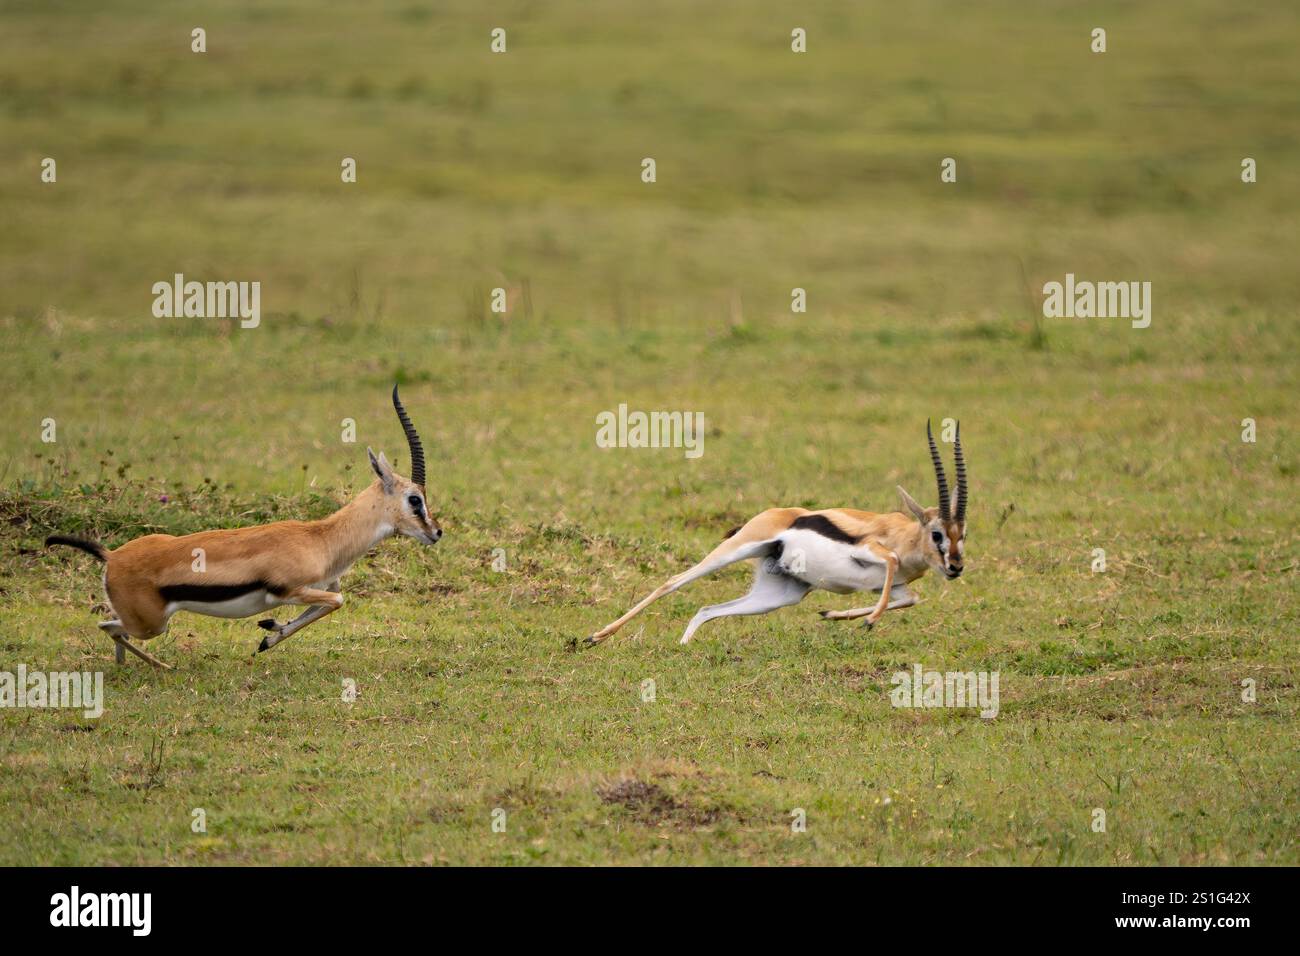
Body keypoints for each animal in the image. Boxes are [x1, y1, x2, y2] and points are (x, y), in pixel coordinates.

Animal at [45, 387, 441, 669]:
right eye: (414, 499)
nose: (436, 532)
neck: (322, 538)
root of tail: (111, 556)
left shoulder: (320, 587)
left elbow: (329, 603)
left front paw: (268, 635)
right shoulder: (290, 590)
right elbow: (337, 601)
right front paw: (268, 632)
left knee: (113, 630)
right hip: (152, 624)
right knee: (109, 628)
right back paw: (162, 667)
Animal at [585, 422, 967, 646]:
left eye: (962, 534)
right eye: (937, 534)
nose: (956, 567)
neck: (905, 537)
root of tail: (776, 513)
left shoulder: (894, 586)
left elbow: (907, 598)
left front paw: (833, 615)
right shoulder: (872, 550)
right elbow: (889, 564)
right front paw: (869, 621)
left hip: (780, 594)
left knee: (708, 609)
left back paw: (684, 645)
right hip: (736, 549)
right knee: (673, 582)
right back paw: (595, 637)